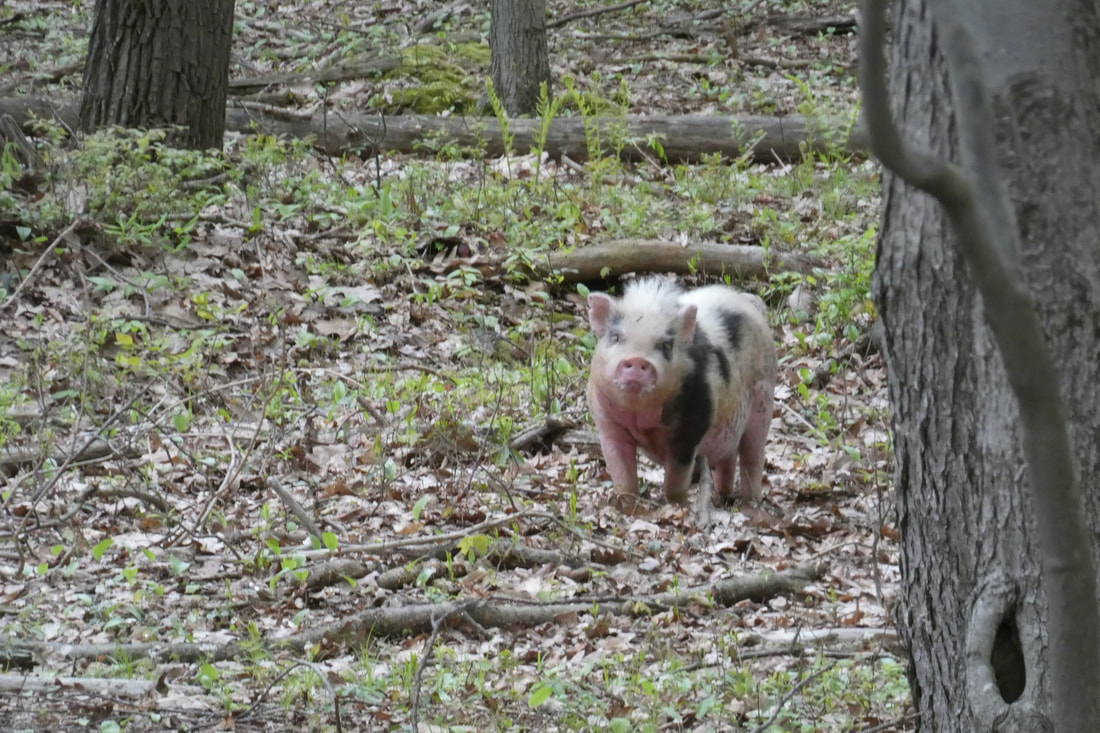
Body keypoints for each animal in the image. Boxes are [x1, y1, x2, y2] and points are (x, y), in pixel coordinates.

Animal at [586, 277, 777, 511]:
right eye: (616, 337)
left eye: (666, 345)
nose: (638, 359)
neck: (640, 416)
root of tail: (745, 301)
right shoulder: (608, 424)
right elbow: (623, 476)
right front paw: (626, 507)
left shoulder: (690, 428)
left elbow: (675, 481)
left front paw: (678, 506)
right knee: (728, 459)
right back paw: (721, 498)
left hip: (764, 398)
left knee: (753, 455)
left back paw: (750, 504)